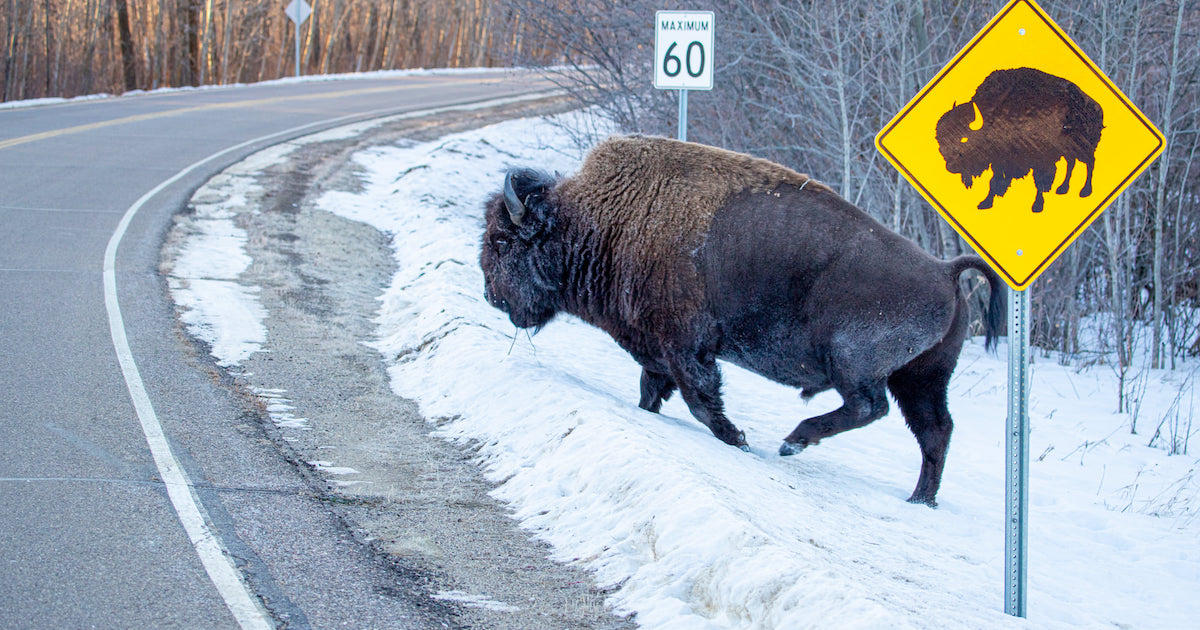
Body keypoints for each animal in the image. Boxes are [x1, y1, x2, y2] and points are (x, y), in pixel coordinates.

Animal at [481, 135, 1004, 506]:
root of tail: (943, 270)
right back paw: (920, 500)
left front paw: (738, 440)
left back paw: (794, 441)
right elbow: (654, 390)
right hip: (921, 378)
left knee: (870, 408)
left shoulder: (685, 346)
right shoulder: (657, 349)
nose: (490, 294)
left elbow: (699, 398)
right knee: (934, 431)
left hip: (855, 364)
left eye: (501, 242)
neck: (604, 219)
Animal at [936, 67, 1104, 213]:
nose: (950, 167)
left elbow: (1040, 180)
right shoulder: (1000, 160)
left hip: (1083, 147)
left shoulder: (1040, 158)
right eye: (941, 141)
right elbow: (995, 181)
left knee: (1090, 162)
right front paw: (985, 202)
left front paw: (1037, 206)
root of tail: (1095, 106)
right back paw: (1063, 188)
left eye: (963, 138)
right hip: (1069, 150)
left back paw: (1085, 191)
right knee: (1071, 164)